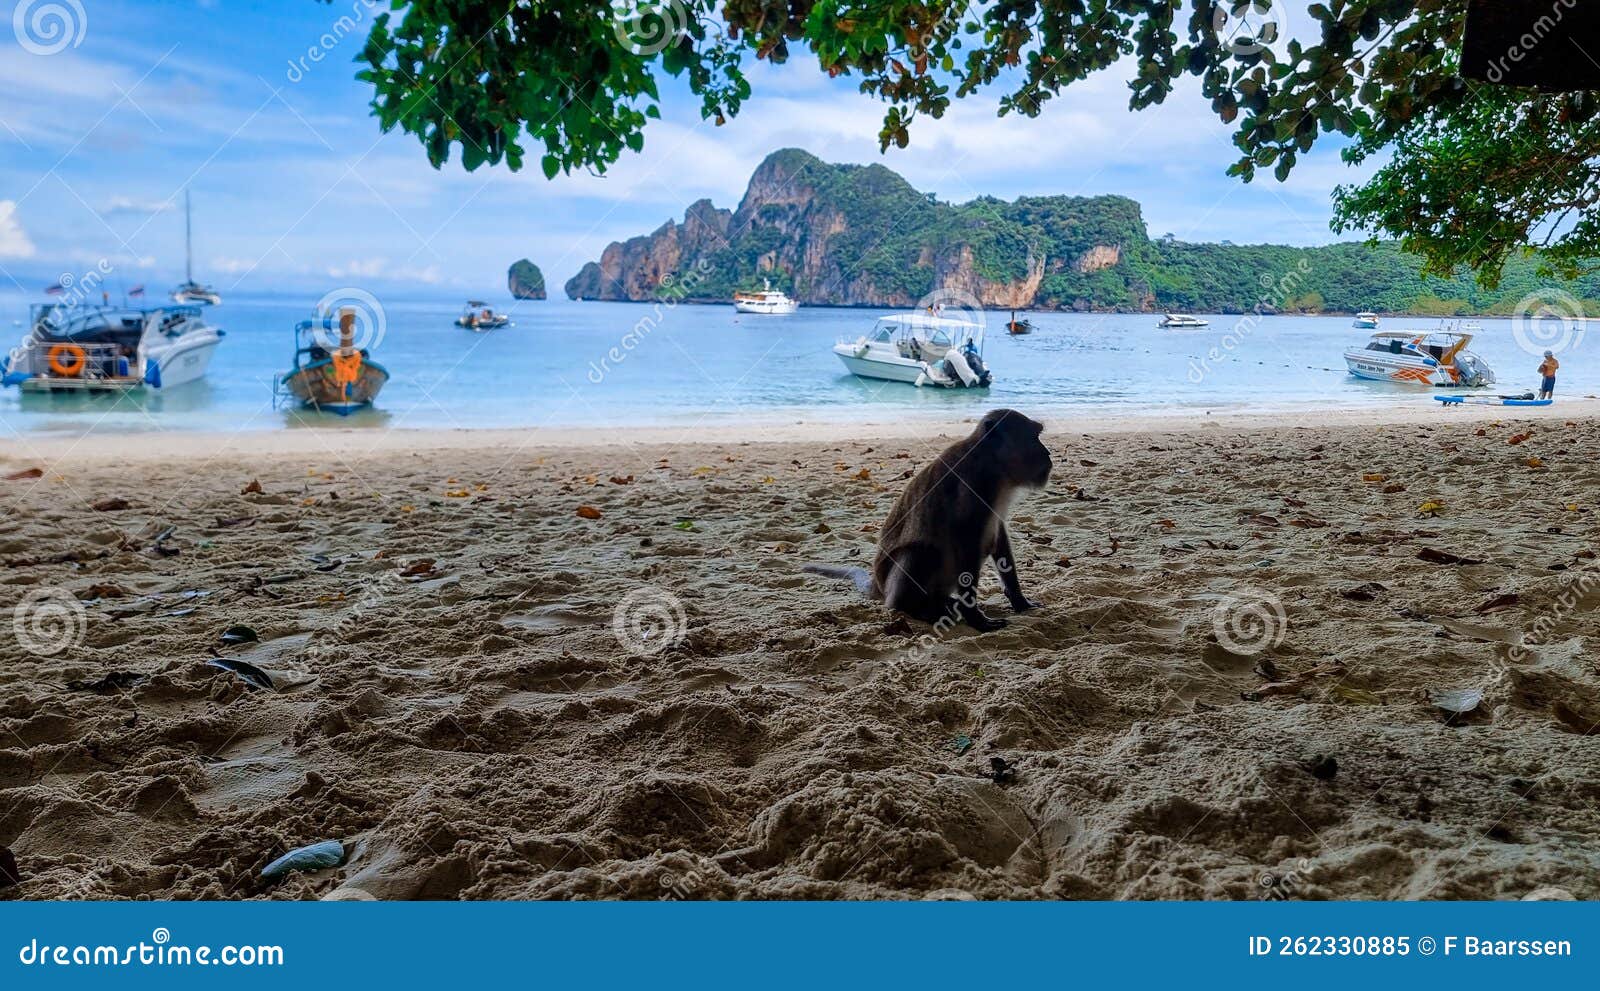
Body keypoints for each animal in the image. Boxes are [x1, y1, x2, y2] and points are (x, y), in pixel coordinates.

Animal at [804, 408, 1052, 631]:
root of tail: (878, 586)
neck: (992, 465)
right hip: (897, 586)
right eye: (1034, 437)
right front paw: (976, 618)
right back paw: (919, 608)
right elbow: (965, 542)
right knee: (922, 552)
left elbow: (998, 537)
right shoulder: (974, 486)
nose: (1048, 453)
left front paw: (1019, 600)